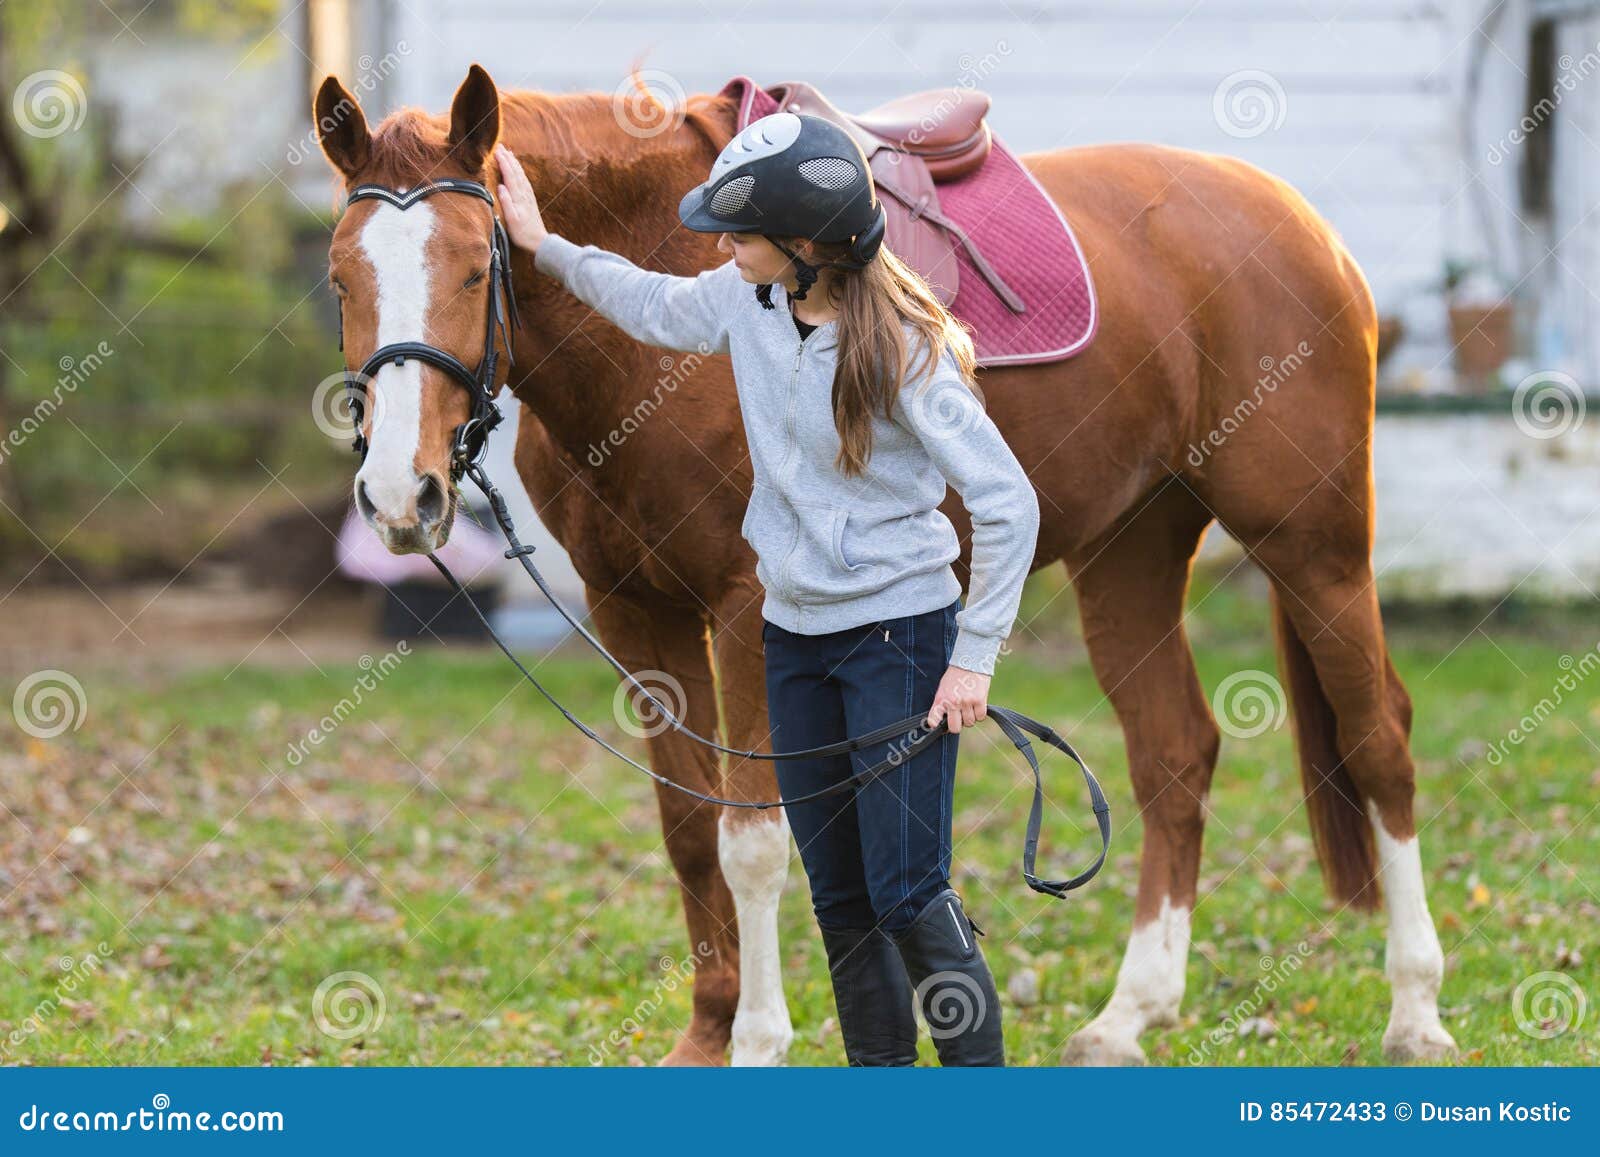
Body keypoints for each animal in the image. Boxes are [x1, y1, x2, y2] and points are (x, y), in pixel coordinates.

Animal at [313, 63, 1457, 1066]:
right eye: (340, 276)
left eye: (476, 266)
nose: (400, 497)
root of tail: (1303, 223)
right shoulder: (636, 609)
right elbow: (687, 829)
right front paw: (705, 1036)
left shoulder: (745, 609)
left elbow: (751, 839)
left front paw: (758, 1044)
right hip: (1128, 552)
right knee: (1174, 753)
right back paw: (1128, 1016)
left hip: (1312, 543)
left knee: (1380, 738)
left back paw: (1415, 1012)